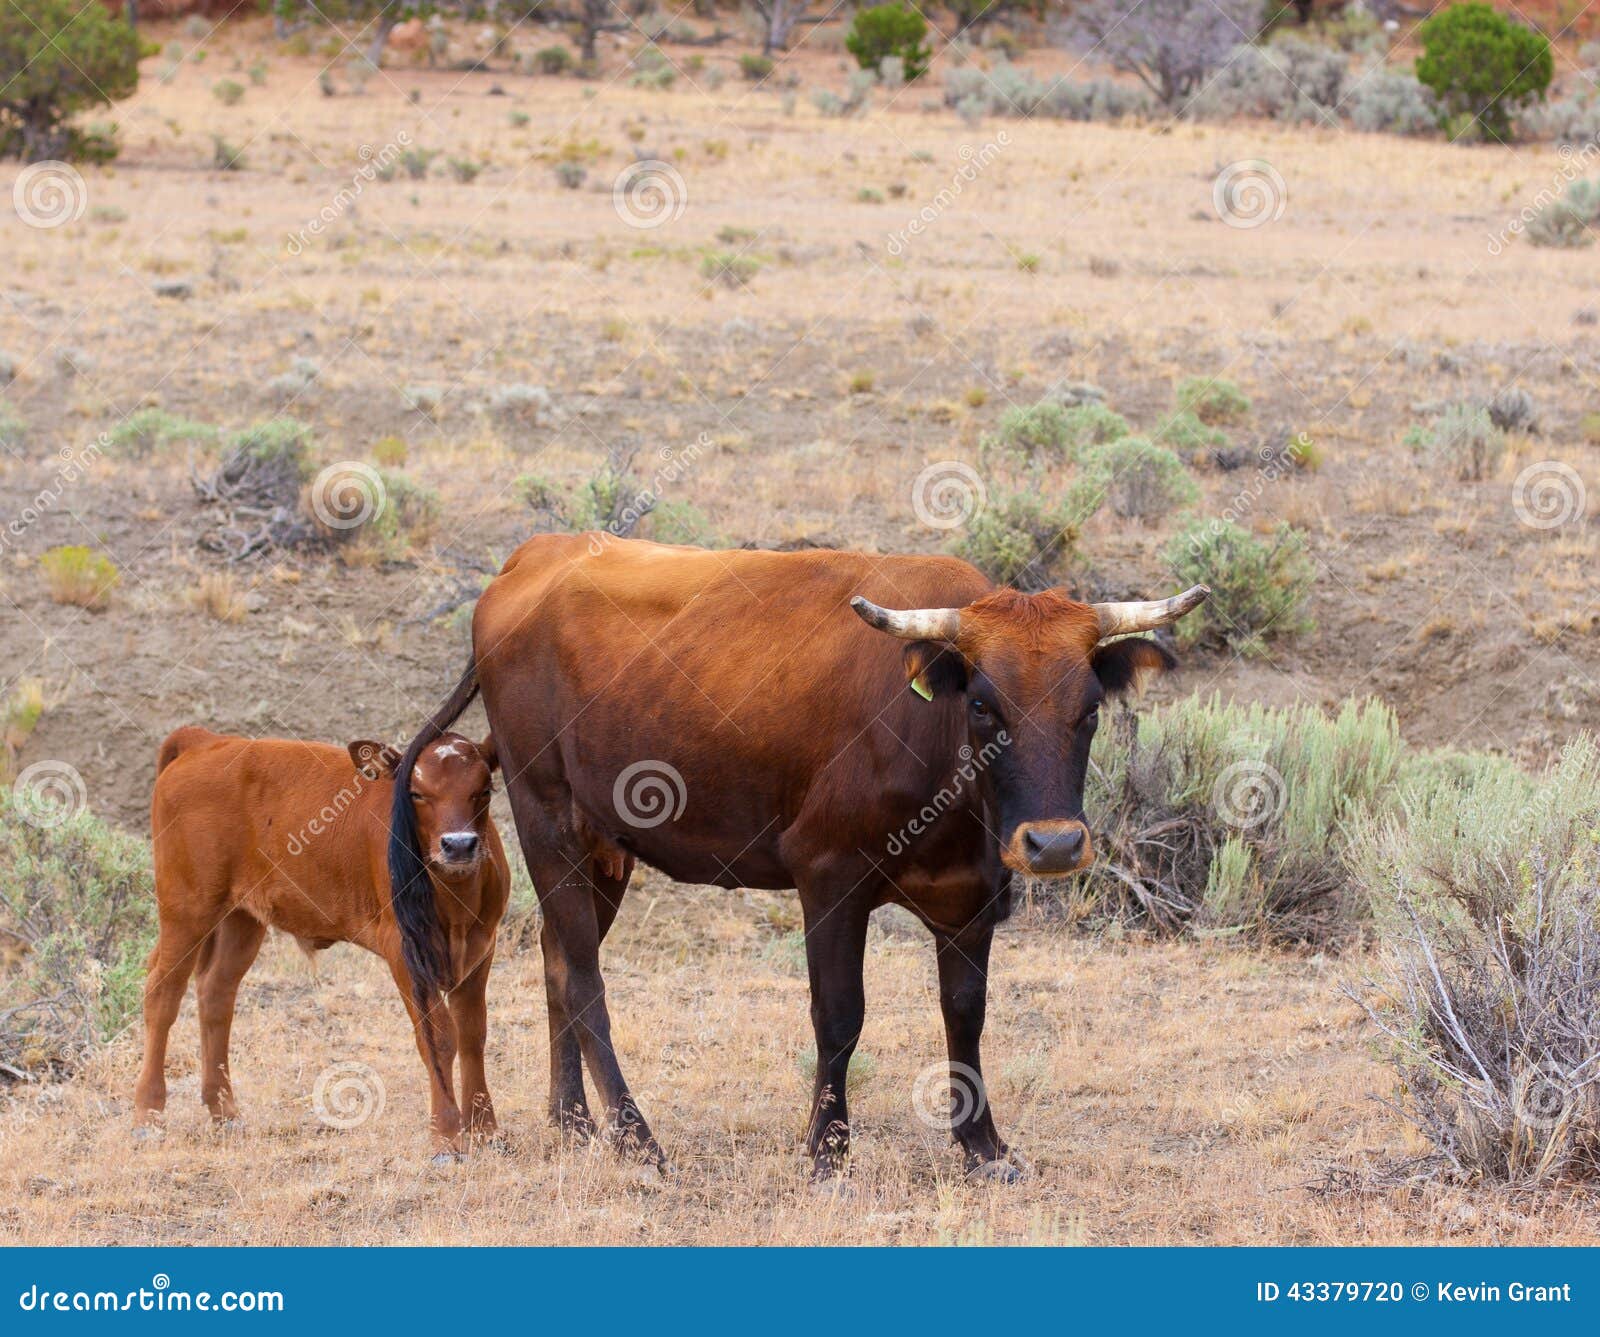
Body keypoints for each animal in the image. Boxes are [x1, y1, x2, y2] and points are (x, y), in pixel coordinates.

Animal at [137, 727, 508, 1159]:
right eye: (416, 793)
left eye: (484, 789)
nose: (459, 844)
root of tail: (206, 740)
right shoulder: (404, 950)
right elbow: (439, 1036)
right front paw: (447, 1137)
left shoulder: (482, 947)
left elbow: (472, 1034)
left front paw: (485, 1130)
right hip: (186, 909)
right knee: (162, 993)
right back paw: (148, 1114)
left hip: (241, 919)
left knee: (216, 993)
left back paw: (224, 1111)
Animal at [388, 535, 1207, 1182]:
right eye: (983, 705)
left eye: (1090, 709)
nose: (1055, 842)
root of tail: (534, 557)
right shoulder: (829, 879)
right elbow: (840, 1015)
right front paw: (828, 1152)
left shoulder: (972, 897)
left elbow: (965, 1014)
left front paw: (984, 1147)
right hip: (546, 818)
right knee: (586, 982)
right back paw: (637, 1140)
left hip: (602, 849)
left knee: (559, 963)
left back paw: (575, 1124)